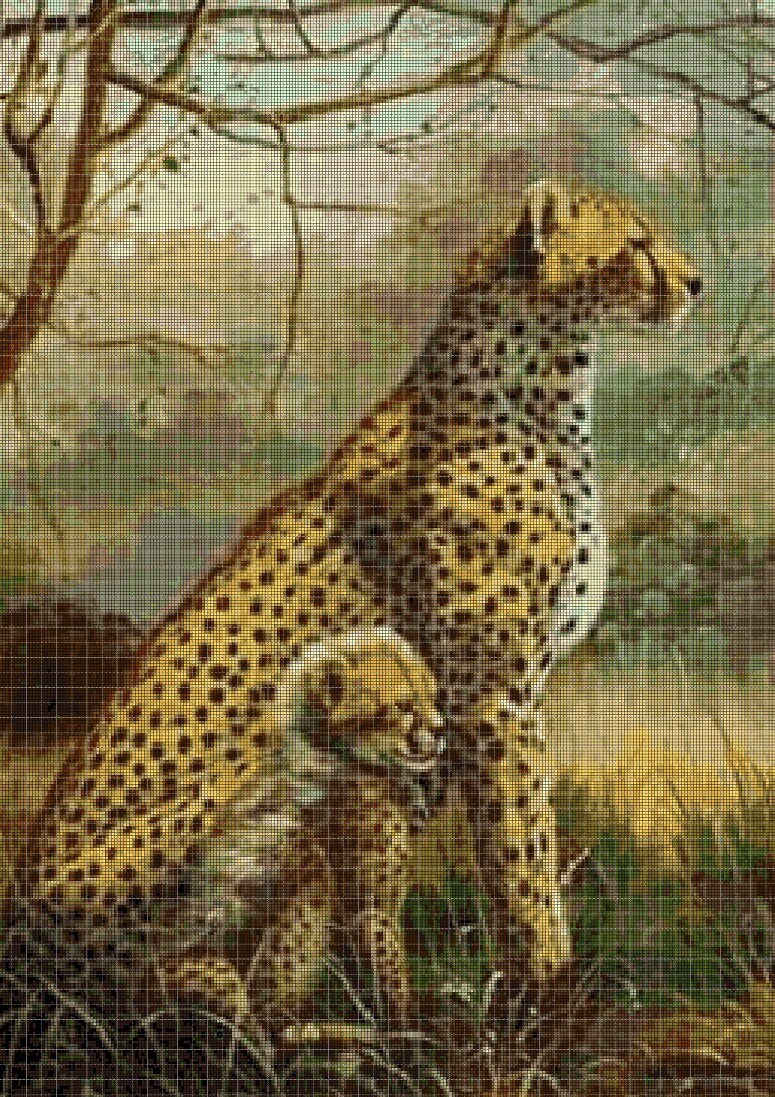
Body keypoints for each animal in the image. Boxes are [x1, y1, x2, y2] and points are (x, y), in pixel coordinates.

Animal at [13, 177, 702, 1033]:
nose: (695, 282)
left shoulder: (471, 714)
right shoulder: (491, 700)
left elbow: (500, 843)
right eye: (636, 243)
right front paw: (550, 991)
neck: (537, 392)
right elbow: (520, 852)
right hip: (240, 813)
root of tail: (20, 935)